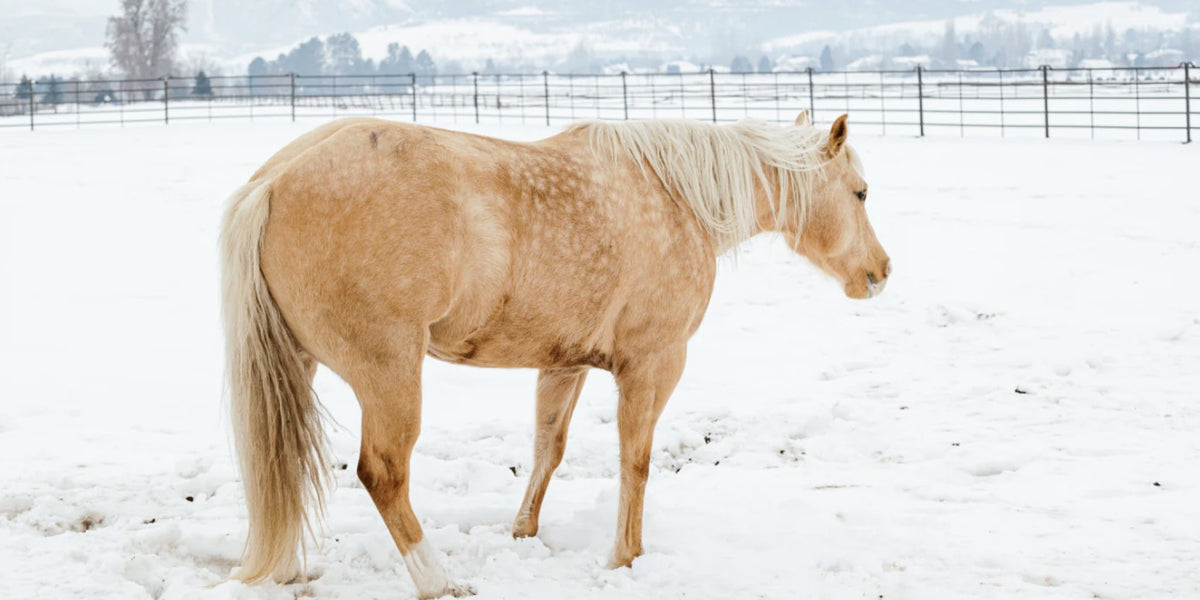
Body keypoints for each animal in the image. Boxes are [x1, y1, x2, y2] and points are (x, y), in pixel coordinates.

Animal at [220, 109, 890, 598]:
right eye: (859, 193)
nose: (880, 273)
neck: (676, 198)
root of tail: (275, 181)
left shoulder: (564, 364)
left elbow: (548, 449)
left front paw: (523, 532)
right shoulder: (653, 365)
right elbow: (635, 461)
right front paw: (626, 557)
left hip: (298, 366)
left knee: (282, 462)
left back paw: (284, 567)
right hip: (390, 374)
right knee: (383, 473)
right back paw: (439, 581)